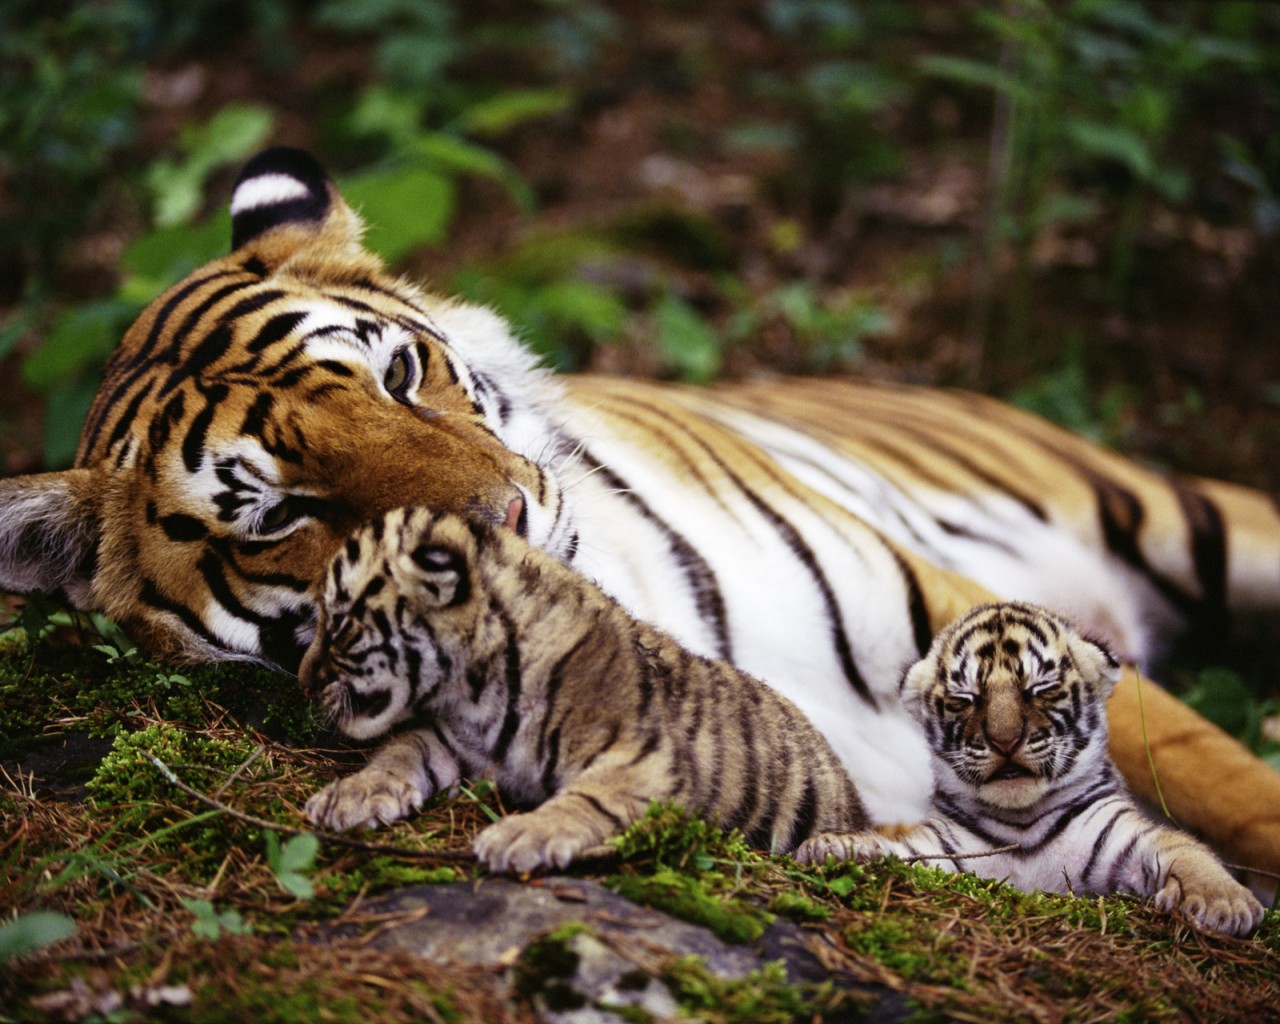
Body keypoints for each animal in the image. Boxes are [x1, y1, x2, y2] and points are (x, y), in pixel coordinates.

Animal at [299, 506, 870, 872]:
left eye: (340, 622)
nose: (303, 681)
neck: (472, 688)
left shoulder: (645, 760)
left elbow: (586, 800)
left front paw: (518, 836)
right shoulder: (451, 739)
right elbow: (400, 750)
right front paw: (351, 796)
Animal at [796, 602, 1266, 936]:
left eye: (1039, 688)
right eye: (965, 699)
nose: (1005, 741)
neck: (1022, 825)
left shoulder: (1125, 839)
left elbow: (1186, 848)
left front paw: (1223, 903)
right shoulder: (944, 853)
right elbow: (898, 849)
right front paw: (836, 846)